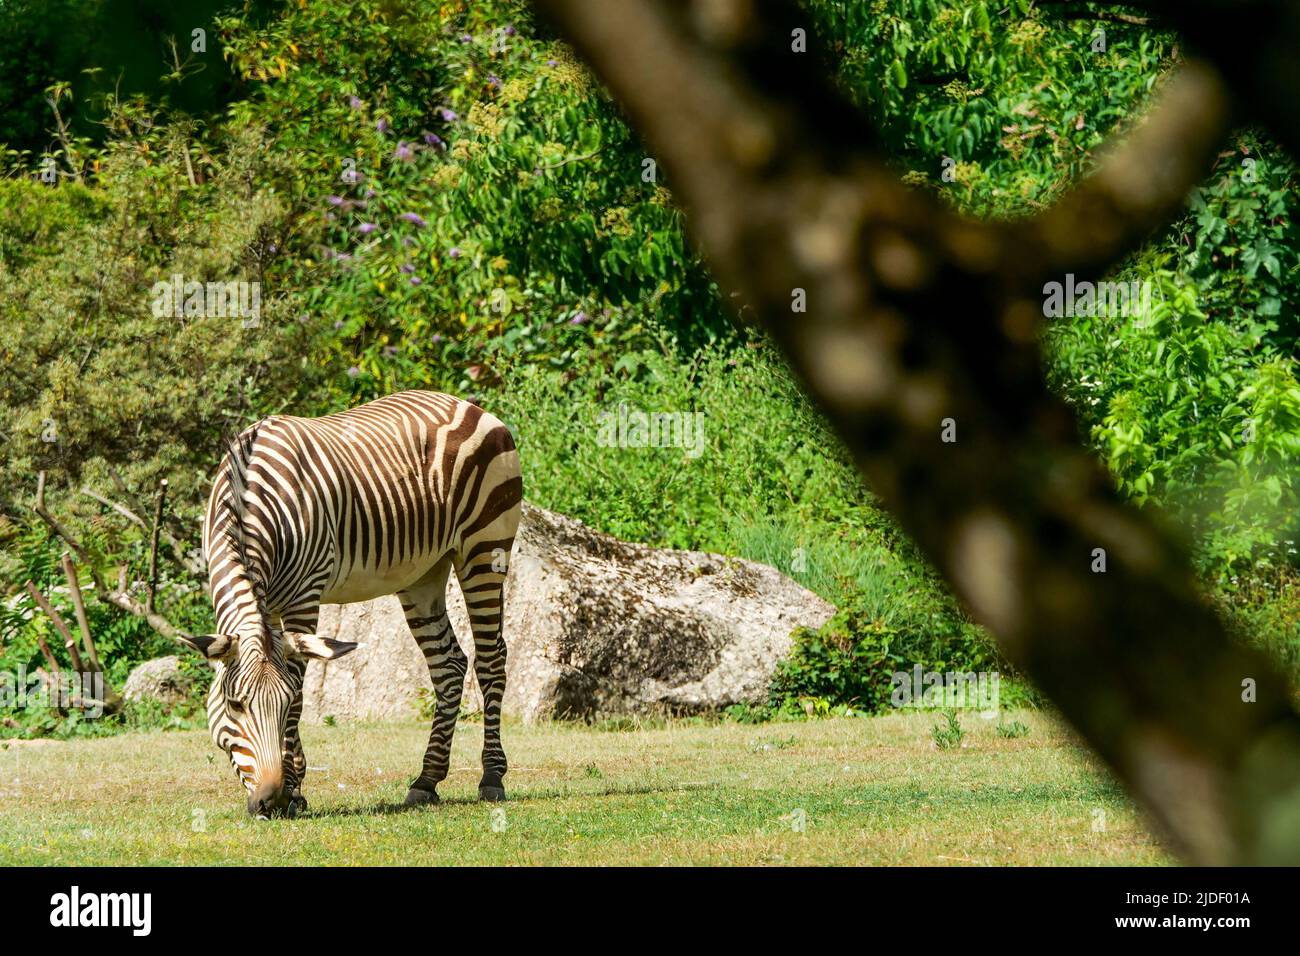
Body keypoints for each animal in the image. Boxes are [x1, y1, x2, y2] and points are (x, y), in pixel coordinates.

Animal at [176, 390, 522, 817]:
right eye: (234, 705)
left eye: (281, 706)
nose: (268, 801)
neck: (245, 502)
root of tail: (466, 404)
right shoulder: (267, 605)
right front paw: (293, 789)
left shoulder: (303, 596)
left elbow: (300, 689)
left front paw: (294, 791)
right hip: (424, 572)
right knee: (450, 666)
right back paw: (426, 780)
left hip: (485, 548)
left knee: (491, 659)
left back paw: (491, 776)